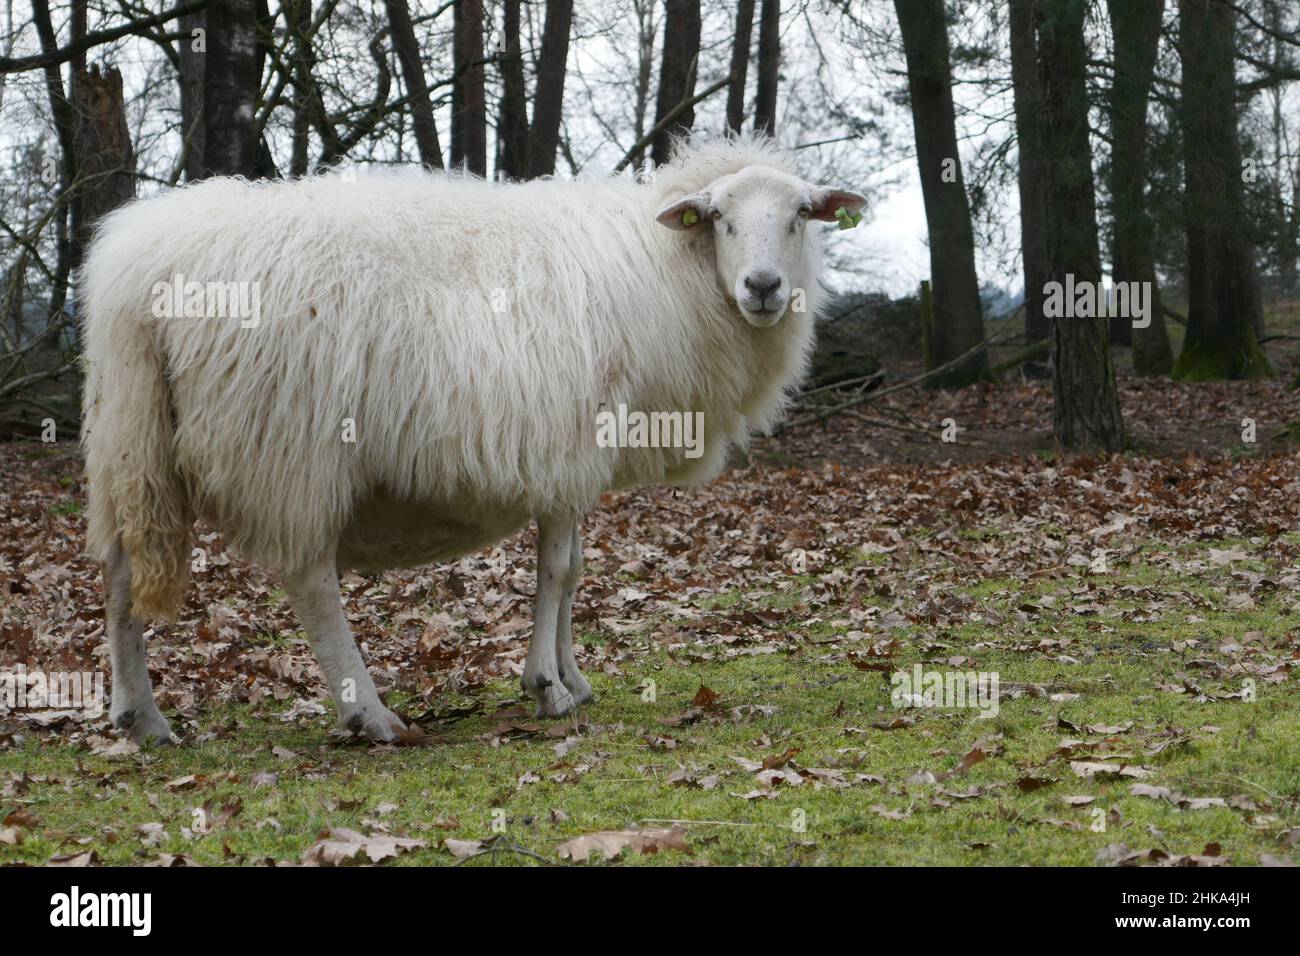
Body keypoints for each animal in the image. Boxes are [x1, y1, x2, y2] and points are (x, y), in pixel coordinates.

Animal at [79, 137, 866, 744]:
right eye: (719, 218)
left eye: (801, 215)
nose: (763, 287)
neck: (665, 265)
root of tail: (137, 279)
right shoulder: (567, 447)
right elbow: (558, 572)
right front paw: (548, 686)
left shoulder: (571, 462)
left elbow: (574, 571)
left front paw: (572, 678)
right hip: (293, 440)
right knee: (310, 579)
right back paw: (371, 714)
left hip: (133, 438)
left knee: (119, 573)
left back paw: (141, 719)